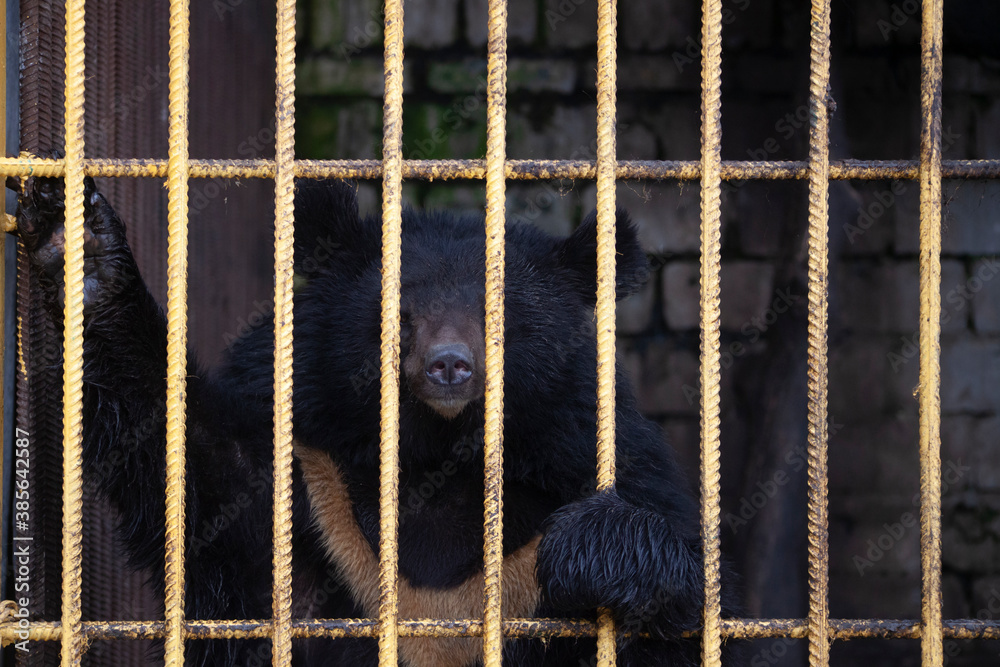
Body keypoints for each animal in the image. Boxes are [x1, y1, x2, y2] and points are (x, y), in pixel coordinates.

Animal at [15, 175, 741, 666]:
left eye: (498, 317)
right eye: (402, 315)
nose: (449, 367)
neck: (437, 454)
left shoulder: (581, 450)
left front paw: (599, 550)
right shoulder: (309, 477)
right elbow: (206, 475)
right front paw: (75, 240)